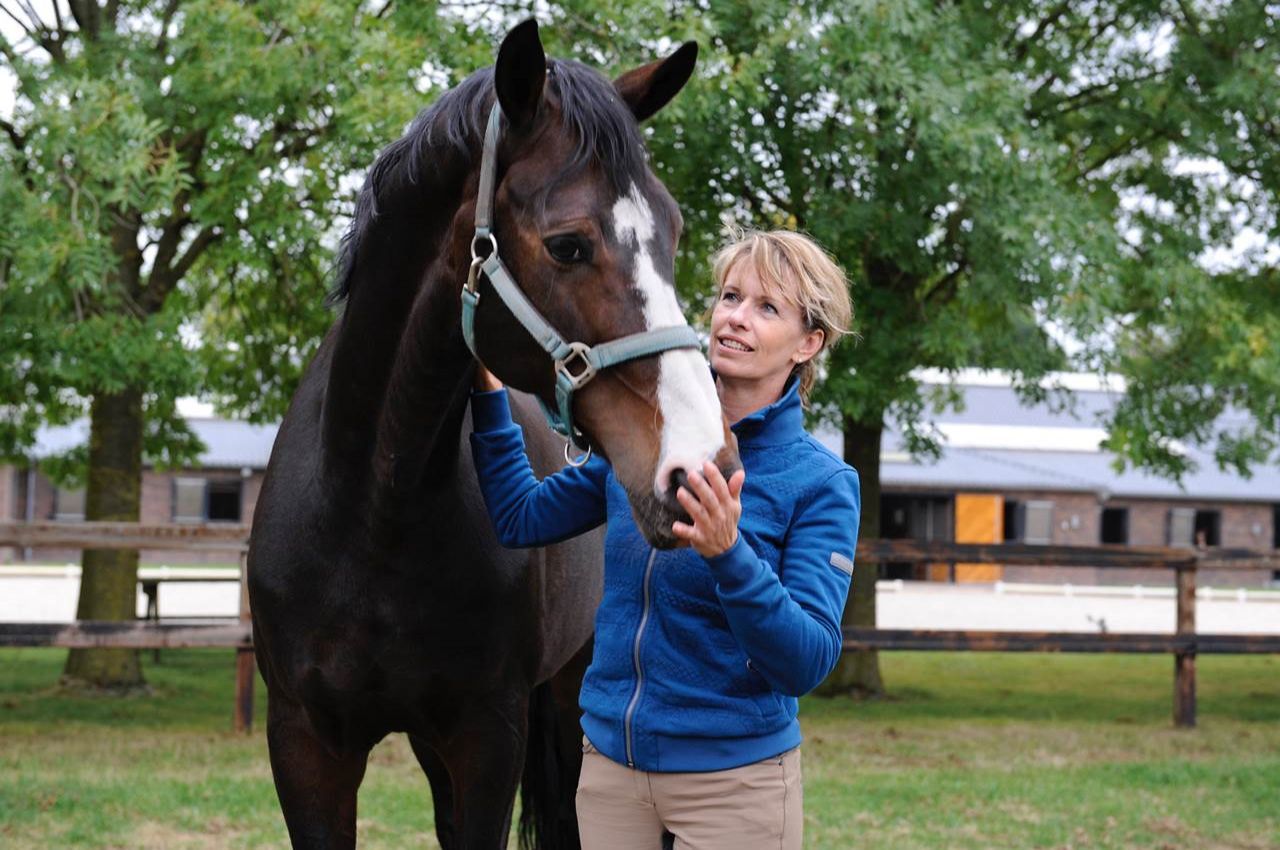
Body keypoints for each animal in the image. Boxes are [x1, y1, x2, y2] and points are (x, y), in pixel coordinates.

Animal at [247, 20, 742, 850]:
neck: (371, 513)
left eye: (673, 230)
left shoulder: (488, 735)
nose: (703, 469)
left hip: (572, 697)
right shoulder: (306, 743)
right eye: (568, 244)